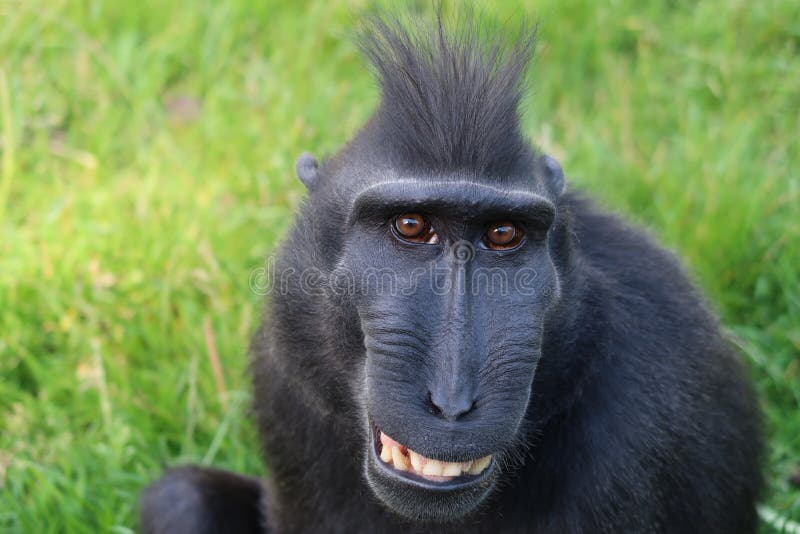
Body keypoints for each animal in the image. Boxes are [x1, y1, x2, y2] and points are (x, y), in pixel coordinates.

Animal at [140, 9, 762, 534]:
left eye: (504, 235)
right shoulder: (286, 374)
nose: (452, 403)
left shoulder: (641, 418)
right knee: (180, 500)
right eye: (411, 227)